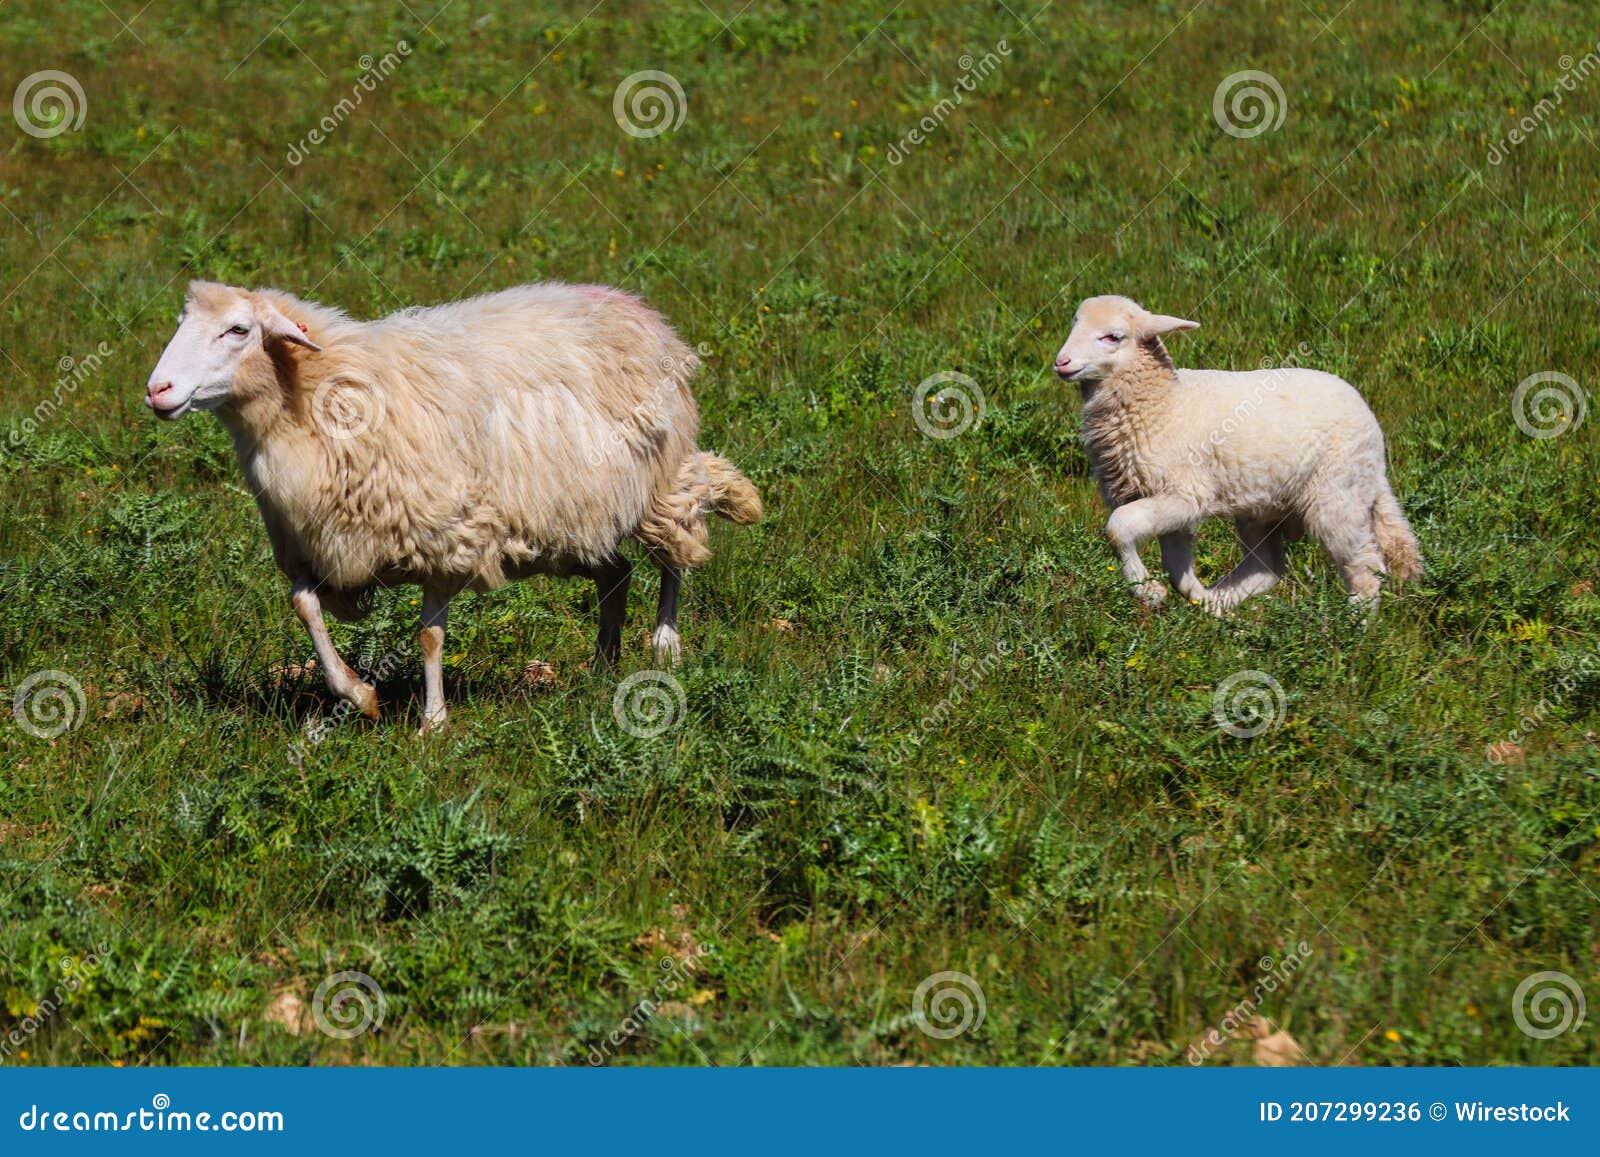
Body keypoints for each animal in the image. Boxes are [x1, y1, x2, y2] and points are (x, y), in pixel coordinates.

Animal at [145, 280, 762, 733]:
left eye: (238, 329)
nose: (157, 390)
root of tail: (641, 312)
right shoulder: (315, 546)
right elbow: (304, 608)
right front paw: (360, 695)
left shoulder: (443, 539)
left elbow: (429, 636)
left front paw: (433, 723)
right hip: (578, 517)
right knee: (618, 573)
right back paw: (601, 668)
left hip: (659, 483)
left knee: (676, 551)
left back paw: (664, 644)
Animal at [1053, 294, 1420, 613]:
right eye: (1073, 325)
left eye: (1113, 337)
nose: (1061, 362)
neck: (1164, 403)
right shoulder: (1168, 500)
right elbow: (1174, 561)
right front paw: (1189, 593)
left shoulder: (1184, 493)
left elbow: (1119, 527)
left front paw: (1148, 591)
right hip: (1266, 507)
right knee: (1267, 567)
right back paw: (1217, 603)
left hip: (1338, 494)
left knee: (1365, 570)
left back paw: (1354, 629)